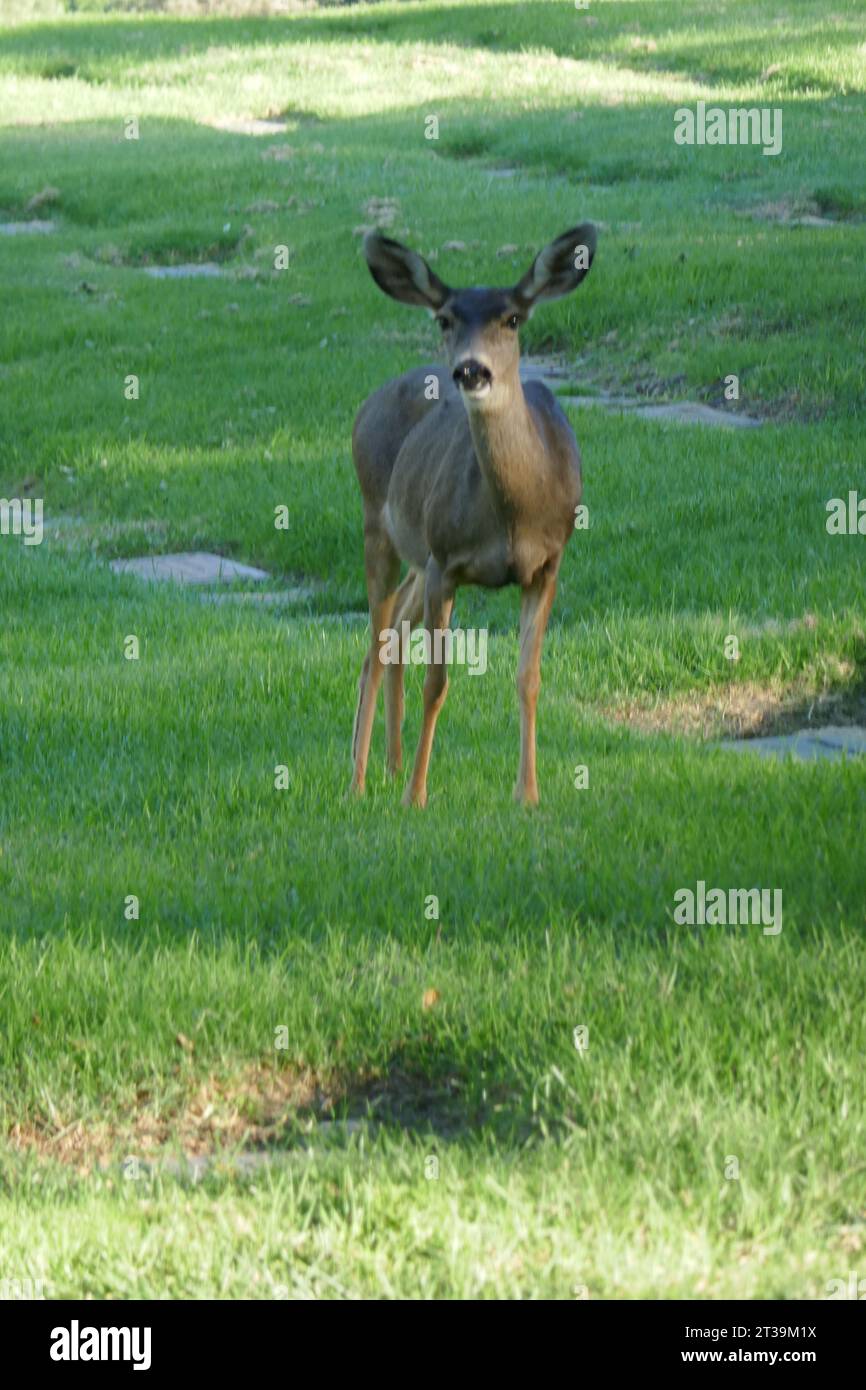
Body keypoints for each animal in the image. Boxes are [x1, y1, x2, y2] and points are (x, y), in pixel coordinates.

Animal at [350, 222, 597, 808]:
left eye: (513, 318)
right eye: (444, 319)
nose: (470, 369)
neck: (512, 515)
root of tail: (367, 405)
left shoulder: (549, 562)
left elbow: (529, 678)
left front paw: (527, 793)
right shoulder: (447, 561)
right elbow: (437, 684)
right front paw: (416, 796)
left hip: (418, 555)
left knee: (394, 629)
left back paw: (391, 764)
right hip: (378, 523)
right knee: (375, 642)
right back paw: (361, 780)